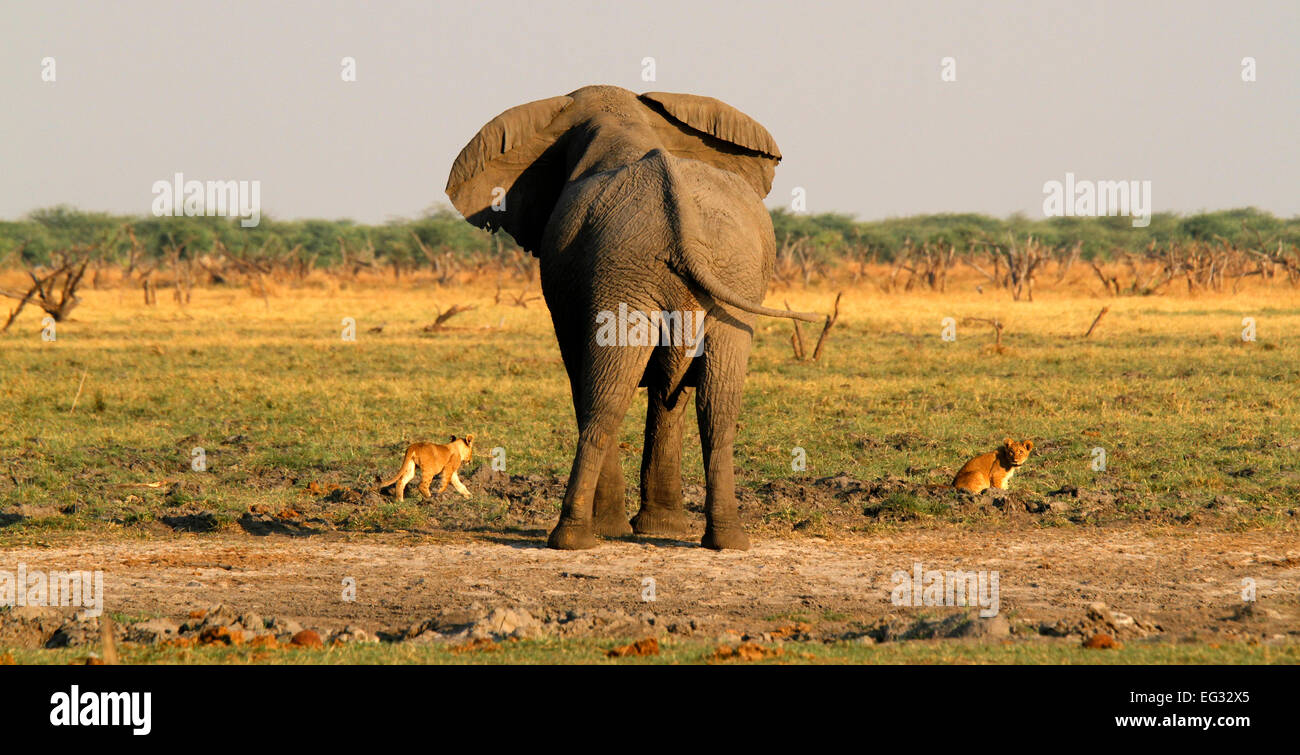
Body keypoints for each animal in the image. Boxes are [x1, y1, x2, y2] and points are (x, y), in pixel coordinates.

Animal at [445, 85, 819, 550]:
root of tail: (680, 222)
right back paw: (727, 541)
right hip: (720, 278)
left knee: (605, 397)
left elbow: (589, 375)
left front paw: (641, 529)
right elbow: (670, 389)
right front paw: (662, 529)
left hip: (631, 274)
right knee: (716, 403)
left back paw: (575, 538)